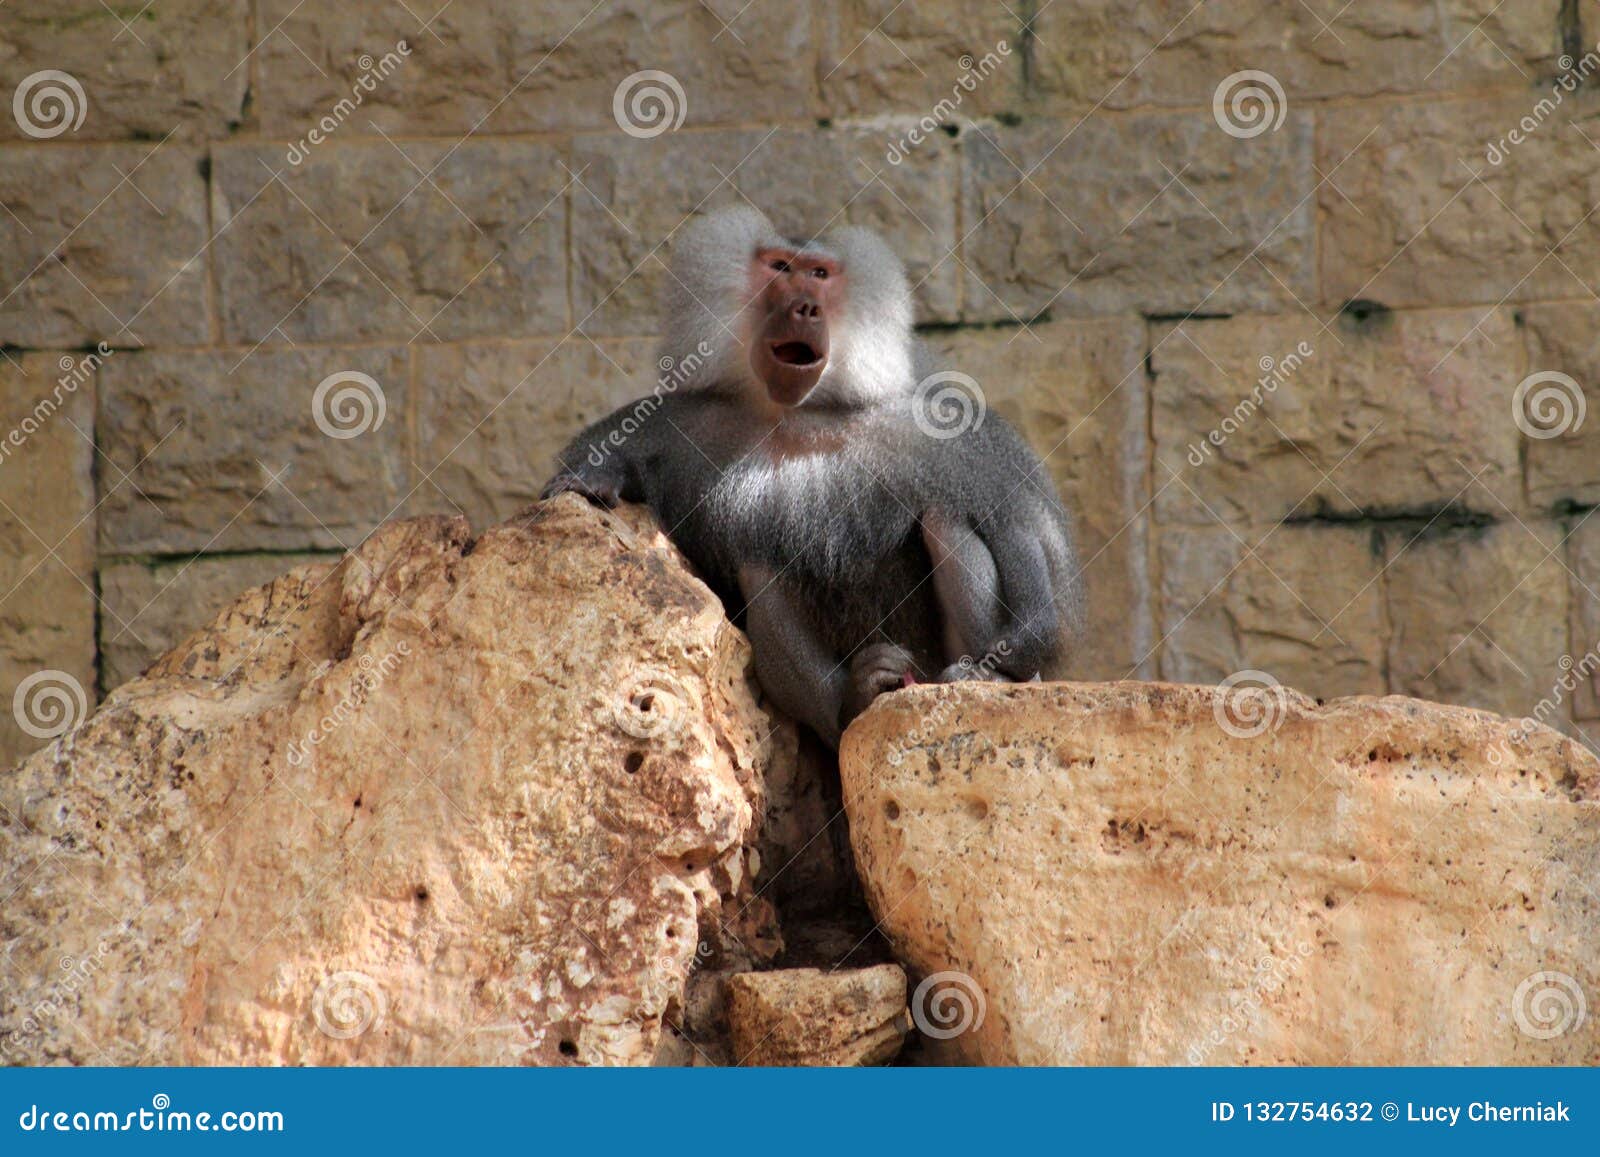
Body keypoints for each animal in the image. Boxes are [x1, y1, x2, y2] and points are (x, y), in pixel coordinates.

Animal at [543, 205, 1083, 748]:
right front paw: (592, 478)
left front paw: (1022, 644)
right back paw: (857, 698)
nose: (804, 308)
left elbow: (1015, 517)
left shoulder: (934, 426)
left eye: (820, 274)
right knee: (759, 556)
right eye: (780, 268)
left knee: (945, 518)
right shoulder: (687, 422)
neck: (794, 414)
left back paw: (985, 676)